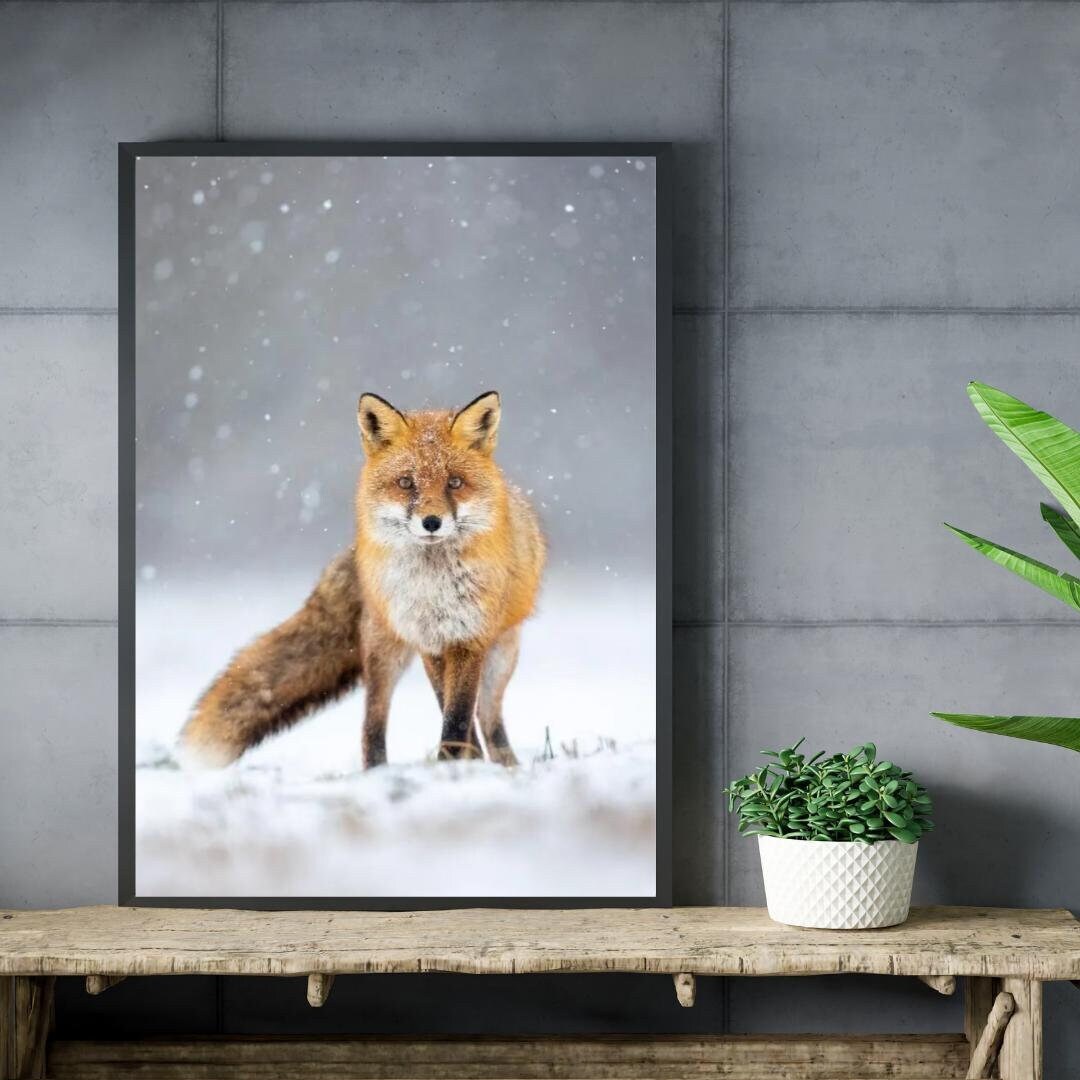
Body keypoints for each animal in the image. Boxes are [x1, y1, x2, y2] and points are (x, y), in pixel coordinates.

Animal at [178, 390, 545, 770]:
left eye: (454, 483)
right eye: (406, 483)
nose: (431, 522)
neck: (434, 587)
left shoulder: (467, 638)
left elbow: (458, 716)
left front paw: (458, 763)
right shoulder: (429, 641)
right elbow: (449, 711)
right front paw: (455, 764)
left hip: (501, 657)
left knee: (489, 718)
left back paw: (503, 763)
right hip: (383, 654)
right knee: (373, 720)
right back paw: (377, 770)